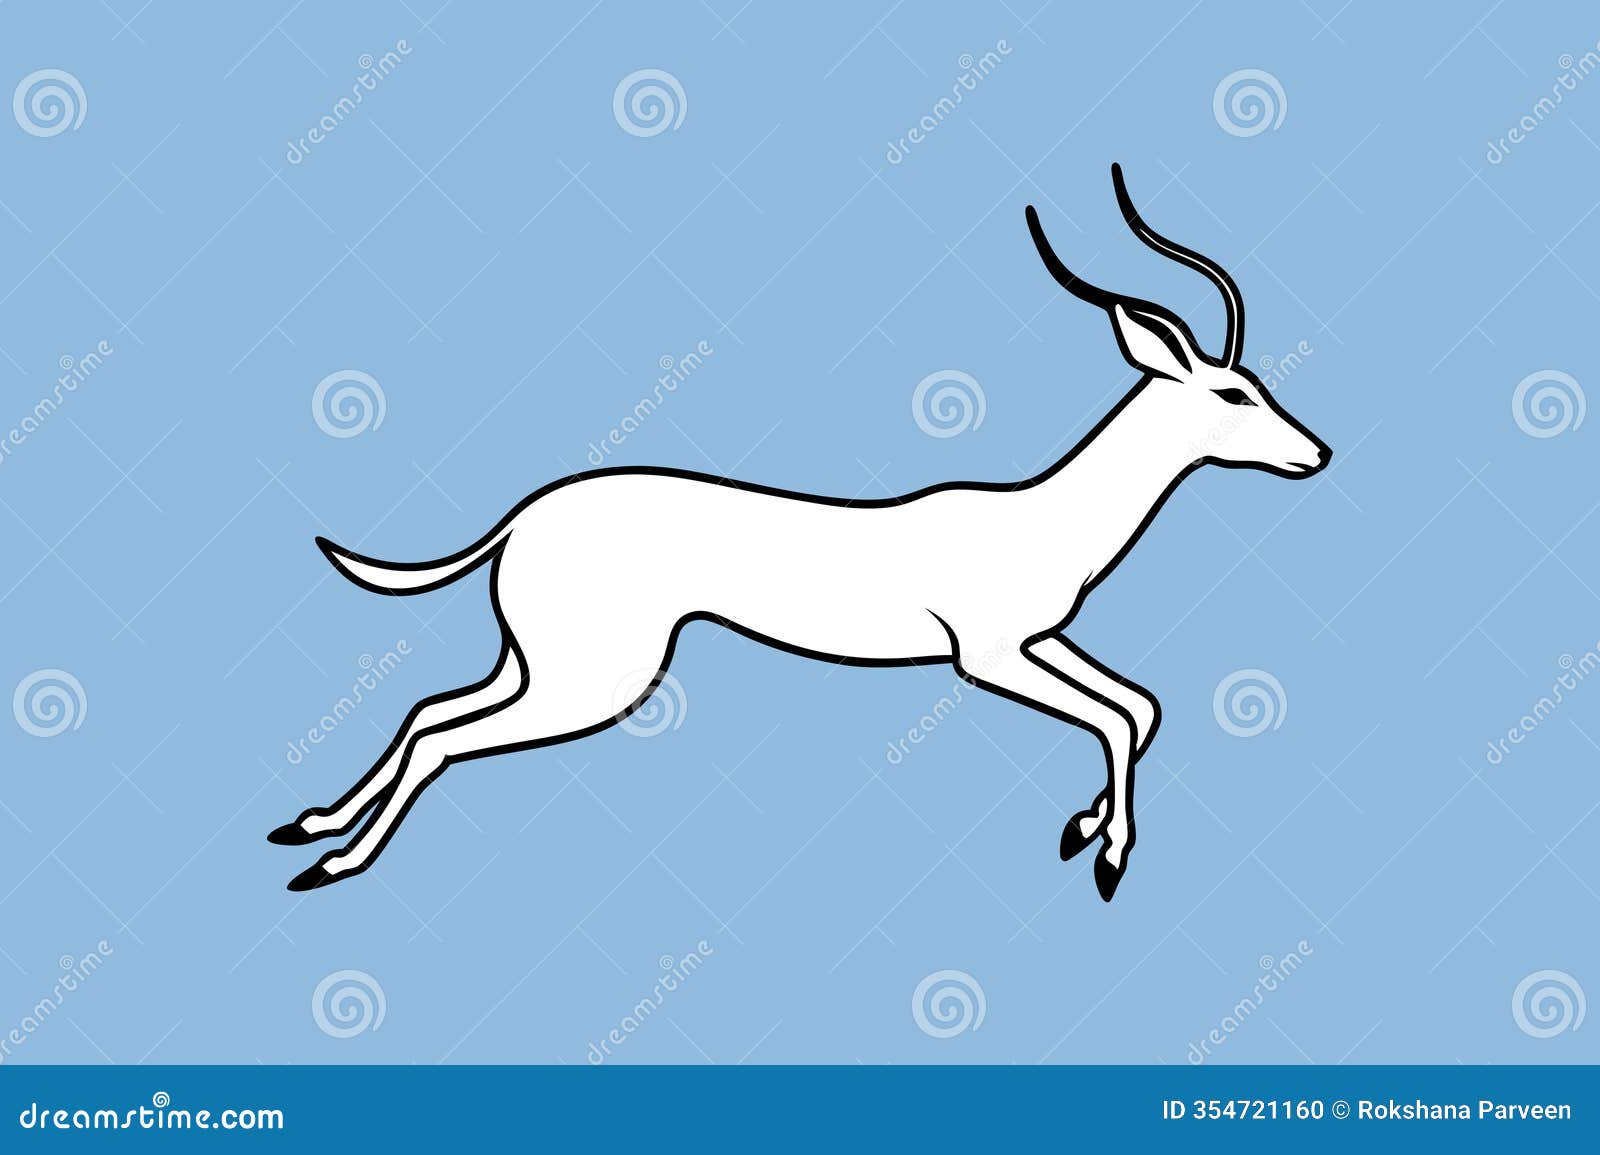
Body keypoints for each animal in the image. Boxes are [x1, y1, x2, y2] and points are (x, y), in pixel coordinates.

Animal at [269, 164, 1330, 901]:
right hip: (591, 678)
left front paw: (1083, 832)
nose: (1316, 452)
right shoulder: (986, 655)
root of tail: (522, 517)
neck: (1043, 516)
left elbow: (1142, 706)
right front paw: (1105, 855)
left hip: (540, 660)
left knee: (428, 709)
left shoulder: (1043, 638)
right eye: (1233, 393)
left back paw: (308, 825)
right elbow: (1115, 714)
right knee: (447, 736)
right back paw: (333, 866)